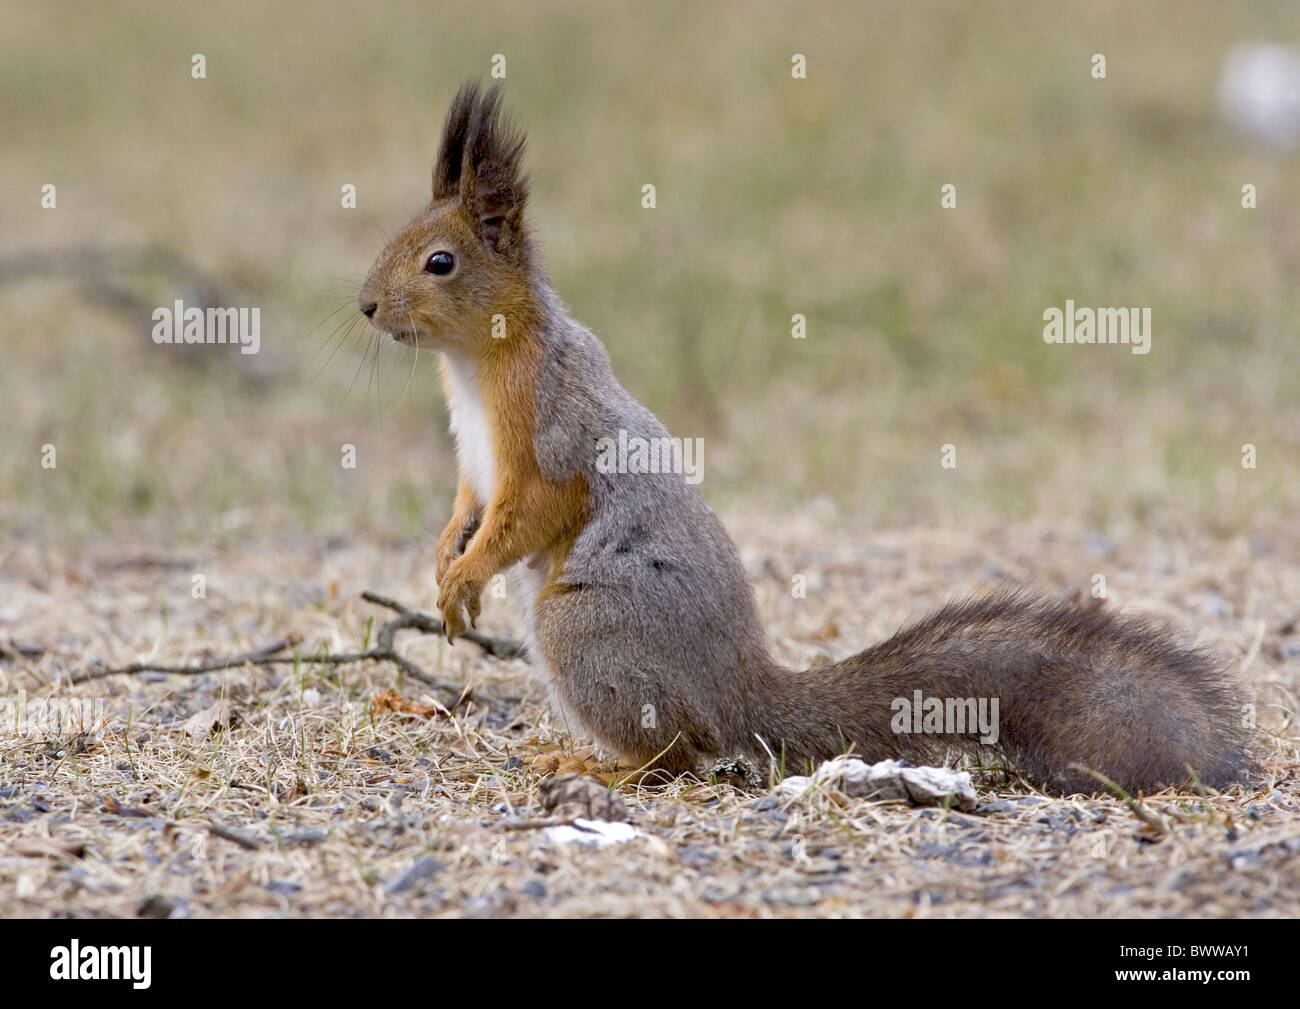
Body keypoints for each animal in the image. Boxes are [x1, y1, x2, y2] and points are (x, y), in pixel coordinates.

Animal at [357, 82, 1252, 795]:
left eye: (440, 261)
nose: (364, 304)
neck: (476, 365)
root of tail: (740, 691)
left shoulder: (552, 428)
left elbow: (532, 509)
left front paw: (463, 578)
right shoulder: (476, 461)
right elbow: (469, 504)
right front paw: (446, 557)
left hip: (585, 634)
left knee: (680, 752)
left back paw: (599, 766)